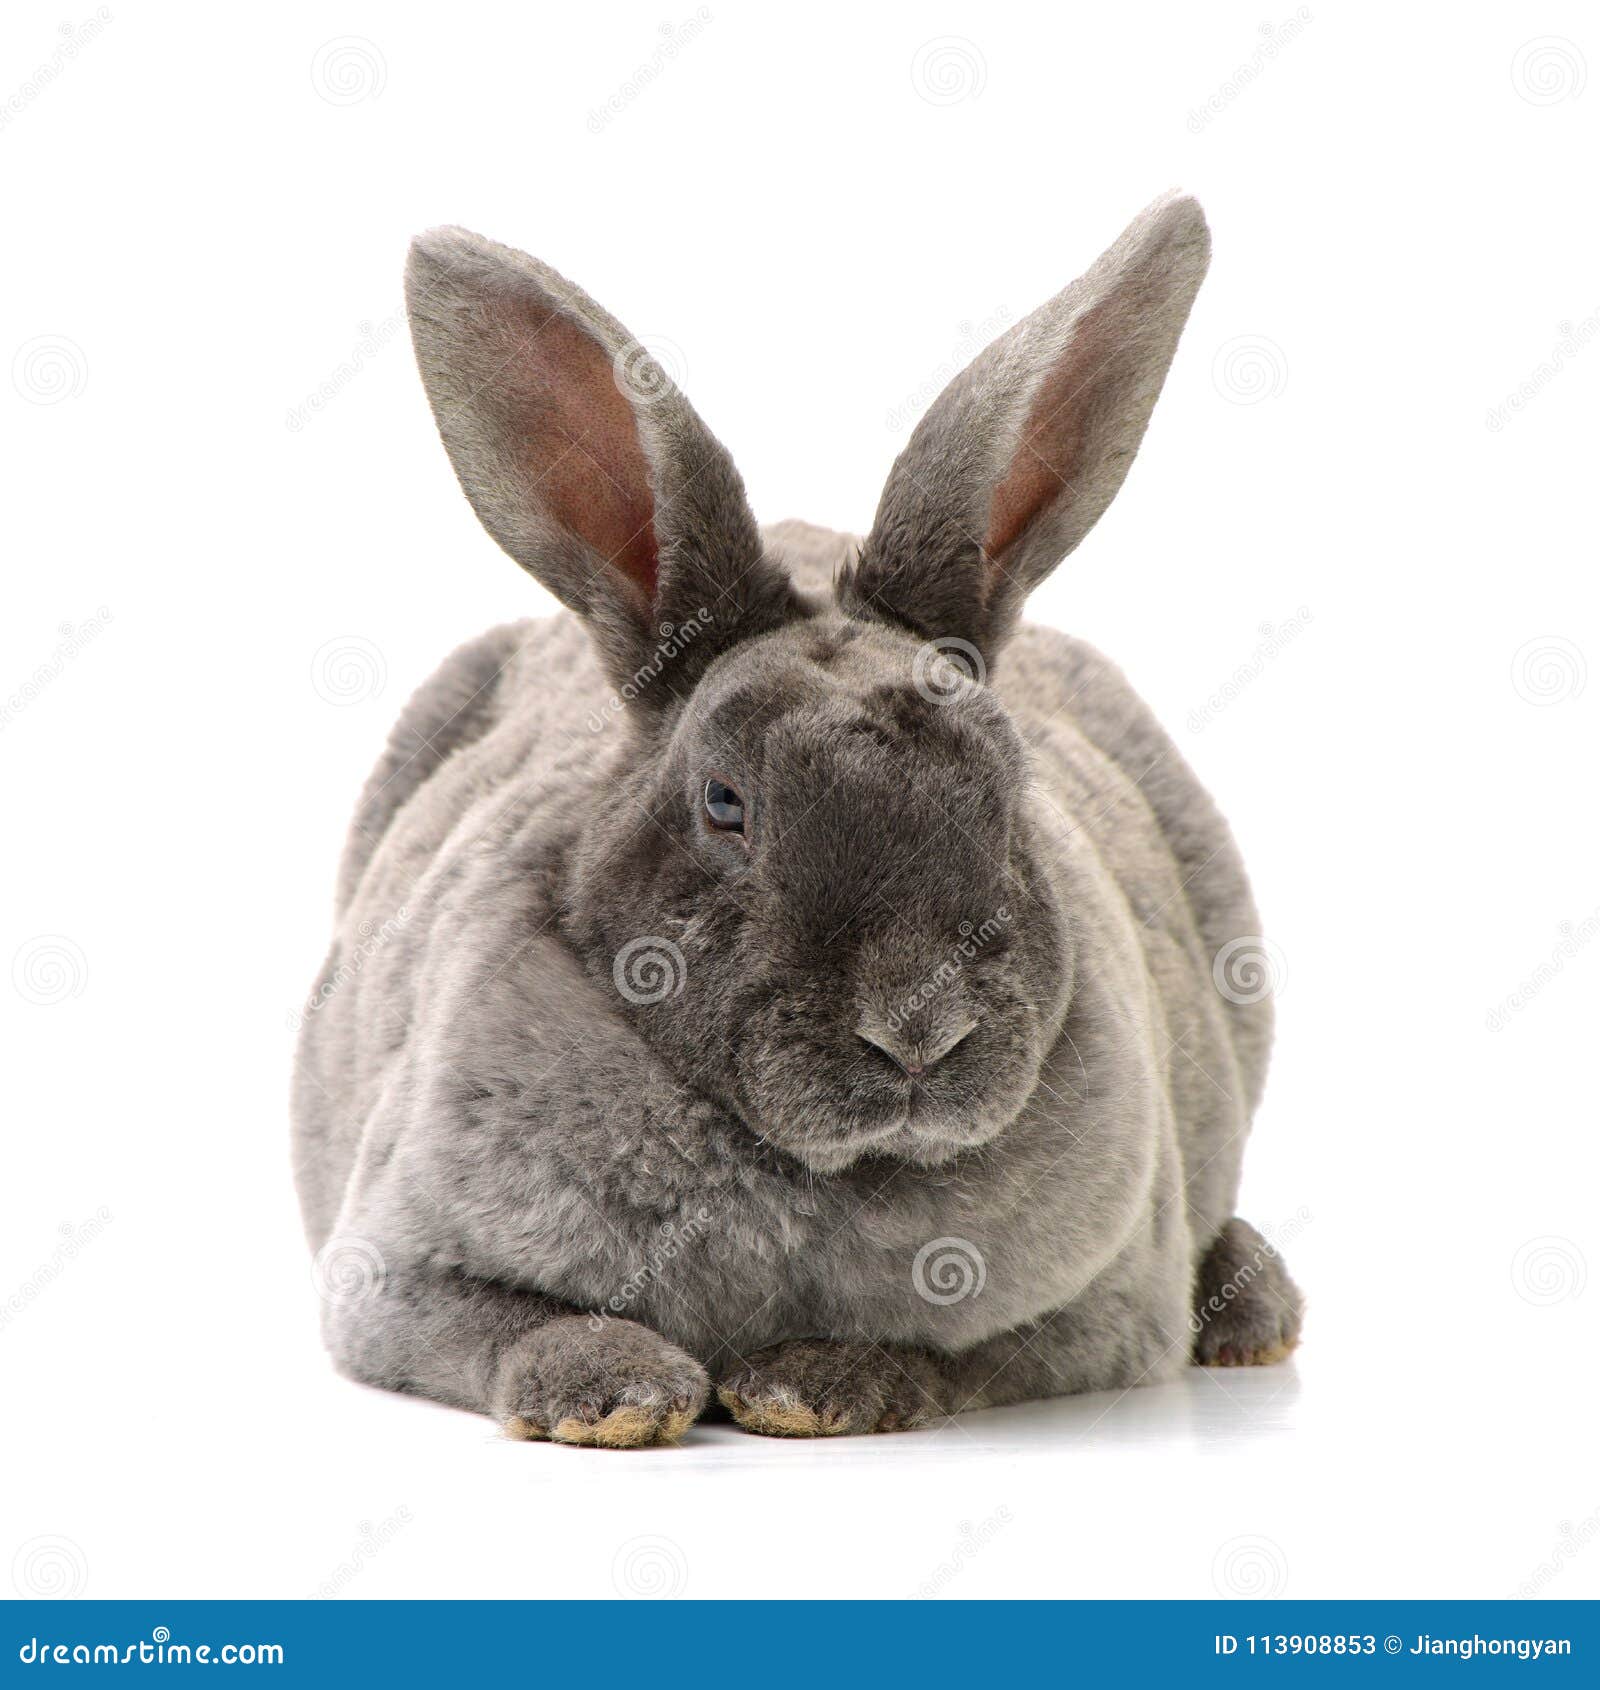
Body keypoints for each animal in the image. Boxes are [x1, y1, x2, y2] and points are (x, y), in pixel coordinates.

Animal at [291, 191, 1303, 1447]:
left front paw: (804, 1386)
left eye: (1010, 789)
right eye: (725, 804)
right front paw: (618, 1394)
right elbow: (504, 1327)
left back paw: (1253, 1307)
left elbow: (962, 1361)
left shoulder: (1103, 1309)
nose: (917, 1030)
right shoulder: (391, 1273)